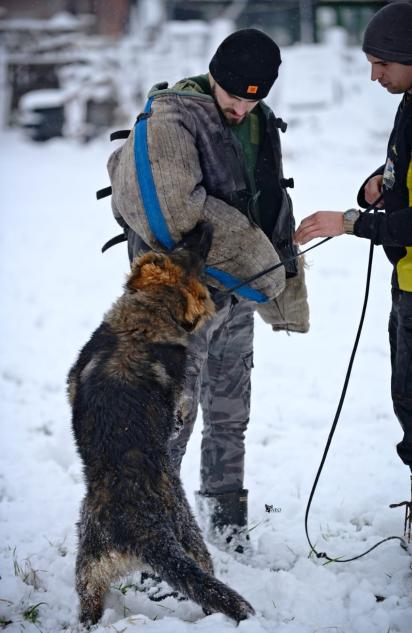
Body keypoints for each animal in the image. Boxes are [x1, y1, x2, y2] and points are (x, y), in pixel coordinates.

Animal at [67, 221, 254, 624]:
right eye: (189, 250)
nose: (205, 224)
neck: (145, 316)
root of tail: (143, 533)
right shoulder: (183, 388)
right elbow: (182, 407)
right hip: (190, 535)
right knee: (206, 580)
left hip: (88, 569)